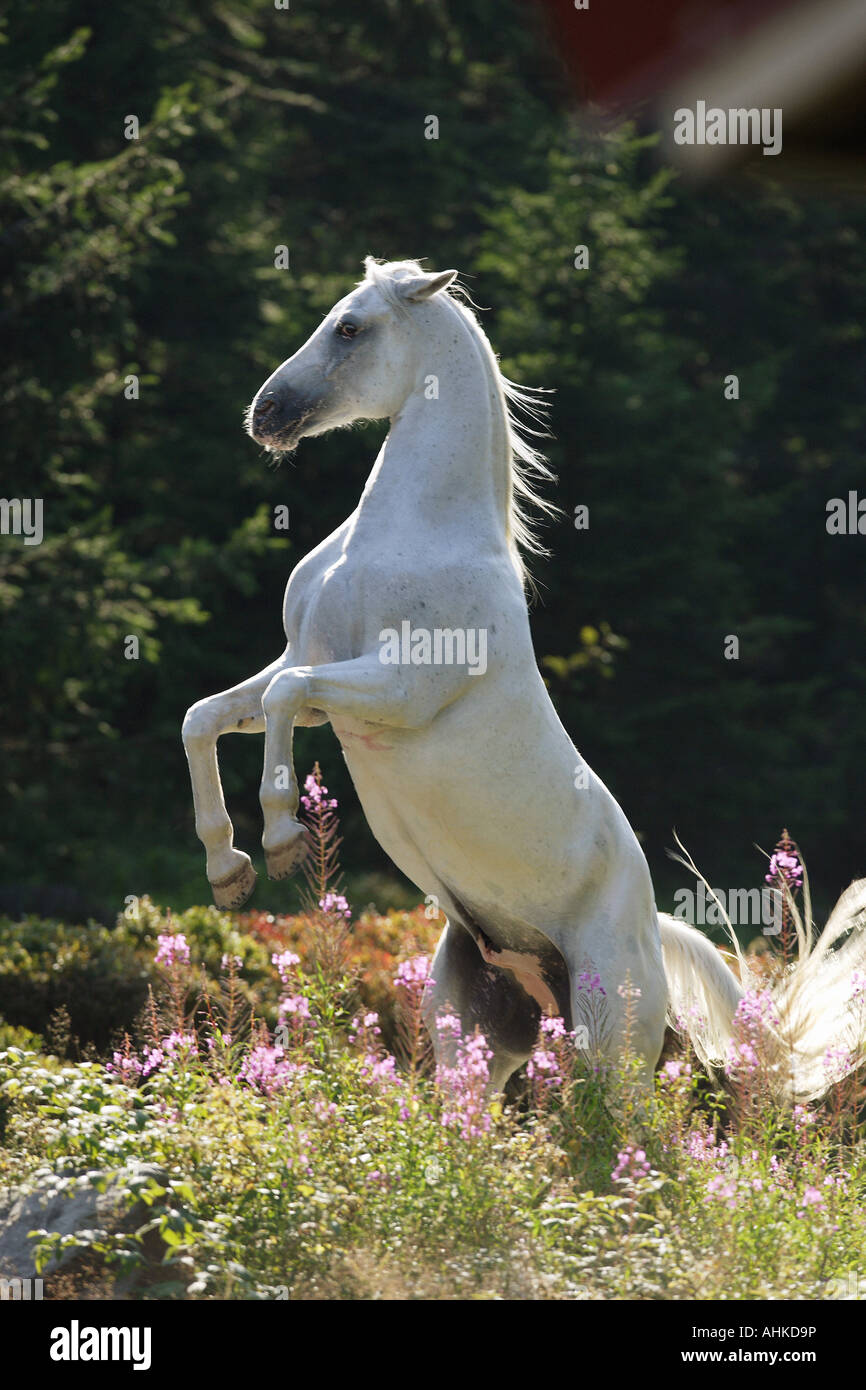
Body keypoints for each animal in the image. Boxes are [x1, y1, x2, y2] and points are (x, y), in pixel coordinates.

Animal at [183, 257, 866, 1098]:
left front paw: (278, 841)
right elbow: (208, 716)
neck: (414, 531)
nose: (266, 414)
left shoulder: (392, 691)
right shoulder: (308, 666)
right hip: (471, 1040)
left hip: (609, 1055)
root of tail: (650, 929)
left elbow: (281, 699)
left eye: (349, 327)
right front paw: (228, 871)